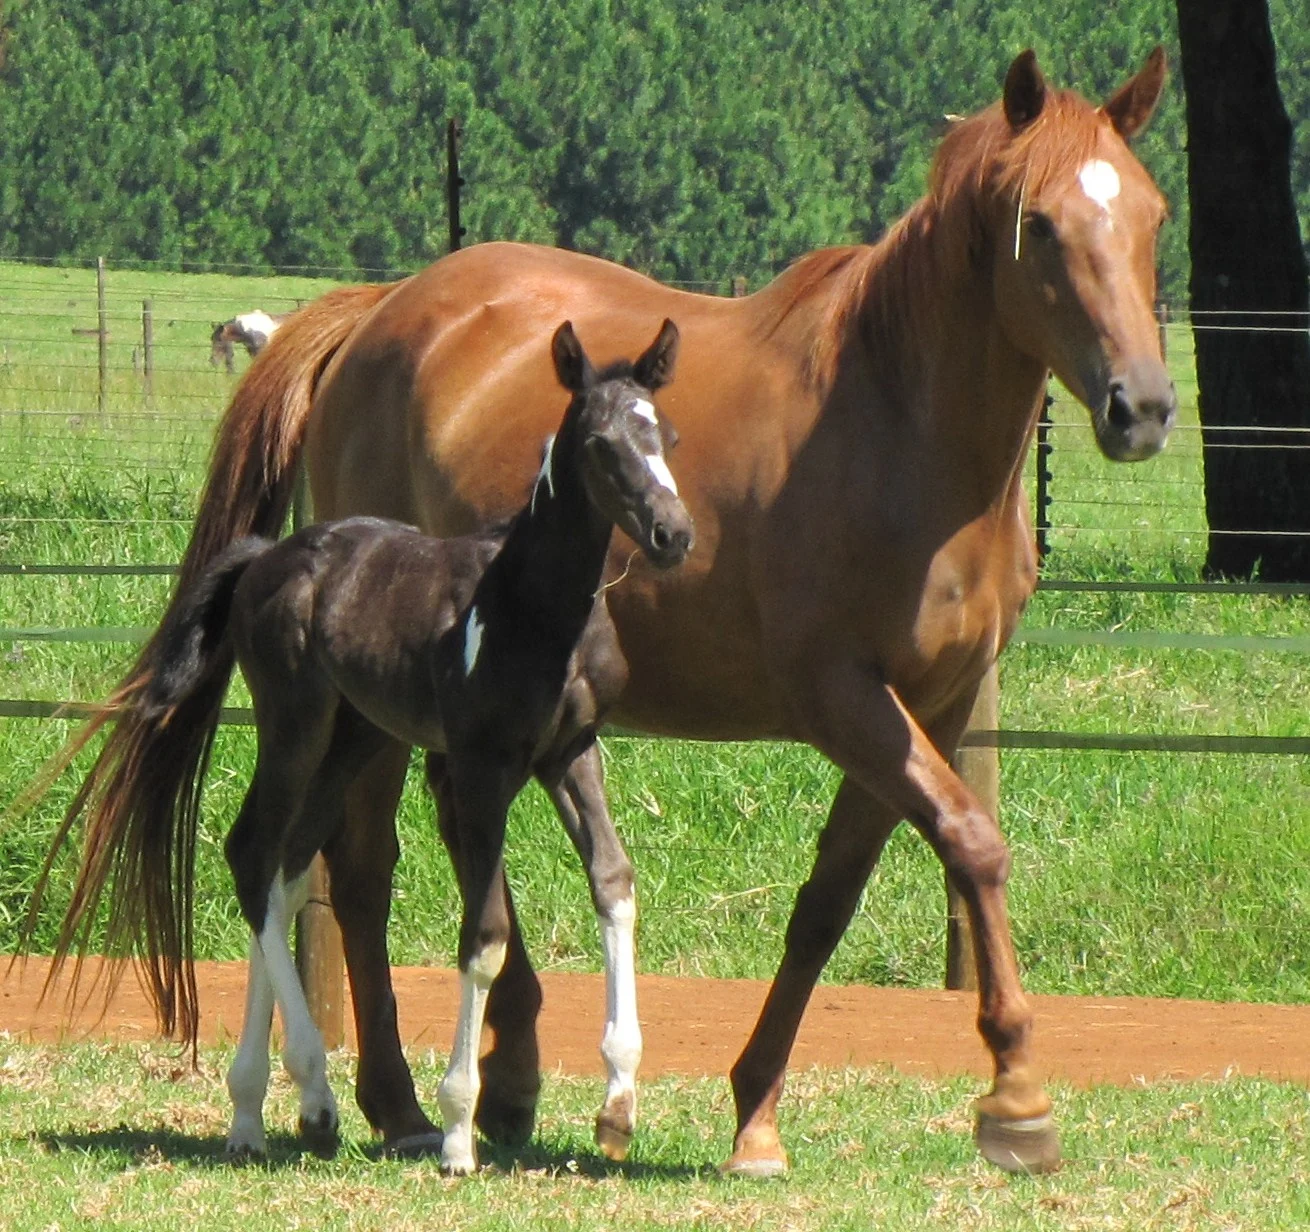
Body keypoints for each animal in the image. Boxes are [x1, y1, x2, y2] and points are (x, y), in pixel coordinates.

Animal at [35, 319, 691, 1174]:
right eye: (602, 444)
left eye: (666, 435)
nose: (674, 535)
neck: (535, 604)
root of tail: (265, 557)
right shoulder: (480, 766)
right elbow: (484, 934)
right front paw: (458, 1129)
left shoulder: (571, 753)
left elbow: (614, 882)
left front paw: (617, 1107)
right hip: (296, 722)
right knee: (253, 852)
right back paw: (311, 1096)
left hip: (356, 737)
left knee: (283, 871)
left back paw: (252, 1110)